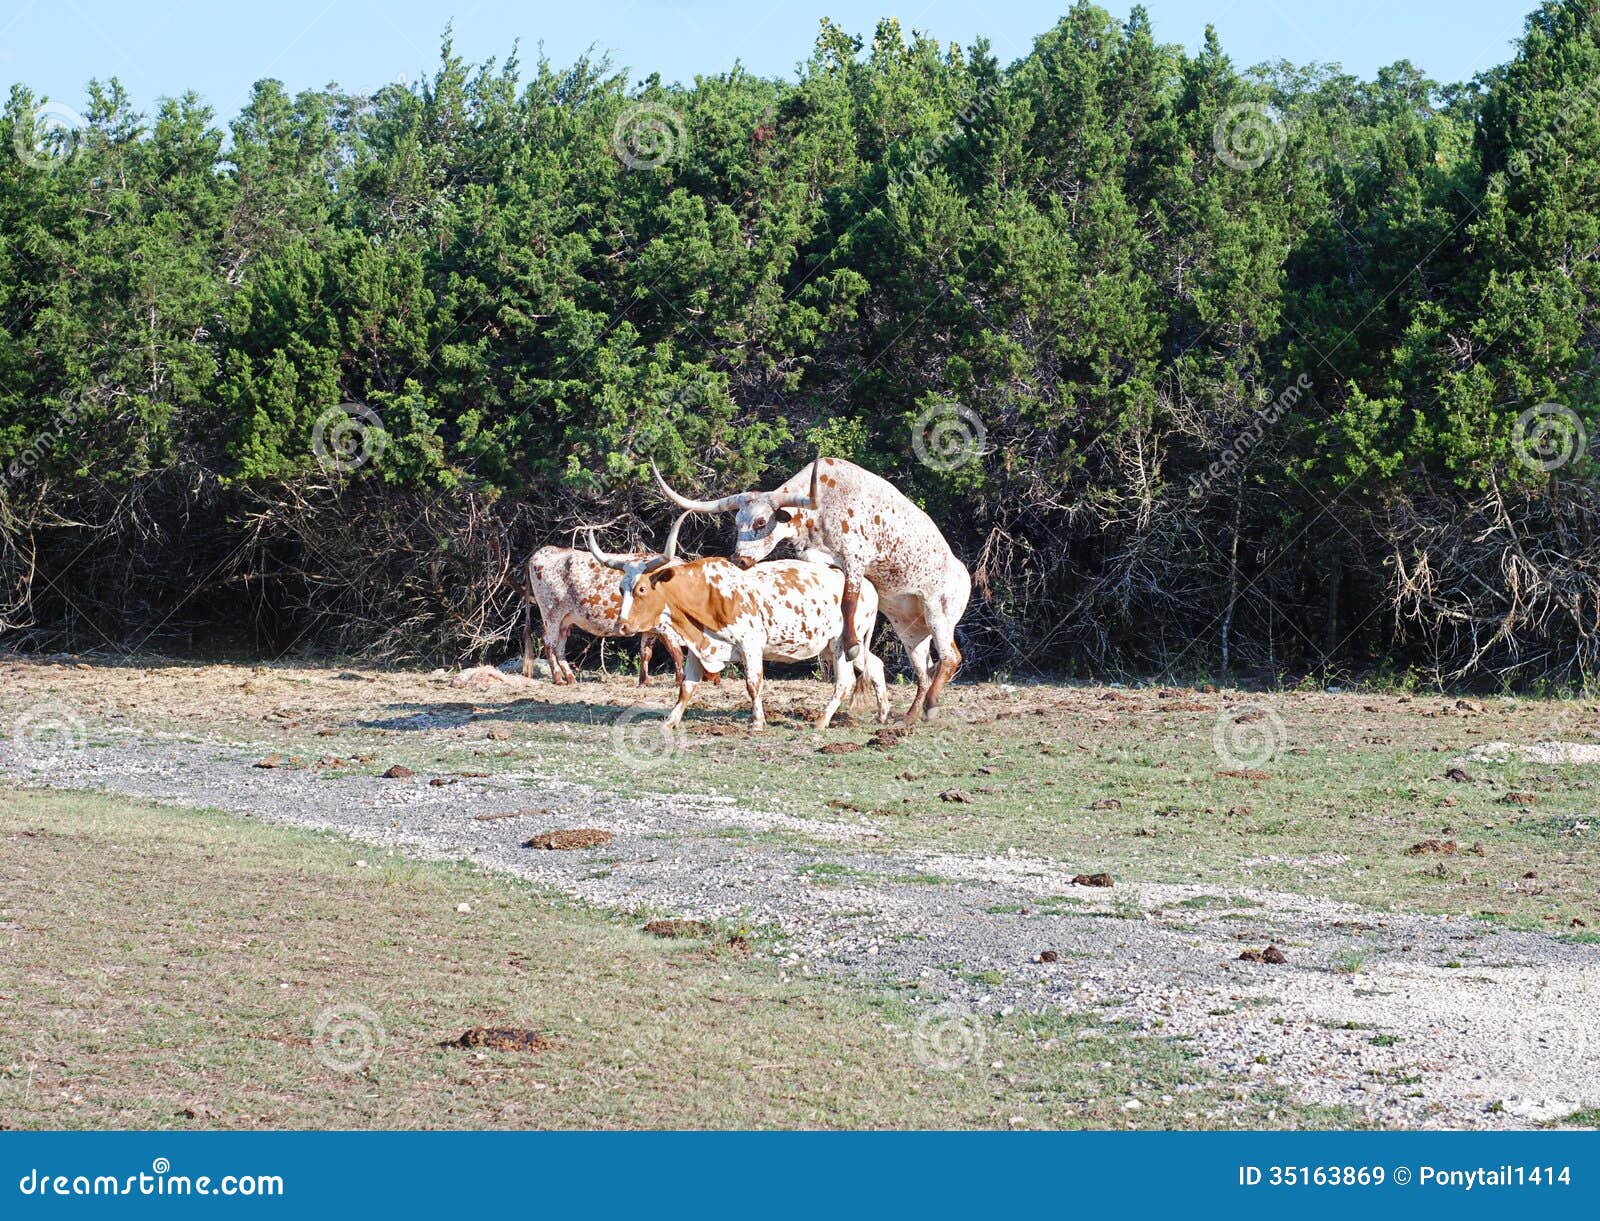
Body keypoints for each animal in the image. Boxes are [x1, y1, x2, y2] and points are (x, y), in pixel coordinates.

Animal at [518, 545, 688, 686]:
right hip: (551, 614)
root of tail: (545, 550)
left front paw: (644, 683)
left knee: (559, 647)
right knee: (548, 643)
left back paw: (571, 679)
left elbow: (646, 653)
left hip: (565, 621)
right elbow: (677, 654)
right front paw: (680, 682)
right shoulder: (665, 628)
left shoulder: (650, 629)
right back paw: (558, 679)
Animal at [587, 515, 890, 730]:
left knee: (845, 682)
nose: (622, 625)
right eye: (620, 588)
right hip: (840, 645)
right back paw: (882, 714)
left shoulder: (751, 645)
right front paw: (671, 720)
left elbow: (753, 683)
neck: (707, 593)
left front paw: (757, 721)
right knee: (874, 664)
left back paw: (821, 720)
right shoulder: (698, 648)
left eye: (641, 589)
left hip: (840, 643)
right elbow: (686, 687)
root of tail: (867, 587)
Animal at [651, 455, 971, 724]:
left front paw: (851, 644)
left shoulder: (854, 557)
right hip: (909, 628)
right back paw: (910, 715)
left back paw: (930, 707)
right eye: (737, 521)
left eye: (761, 521)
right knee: (924, 670)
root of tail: (964, 574)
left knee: (950, 657)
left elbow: (849, 600)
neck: (823, 505)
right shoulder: (815, 557)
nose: (739, 559)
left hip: (938, 611)